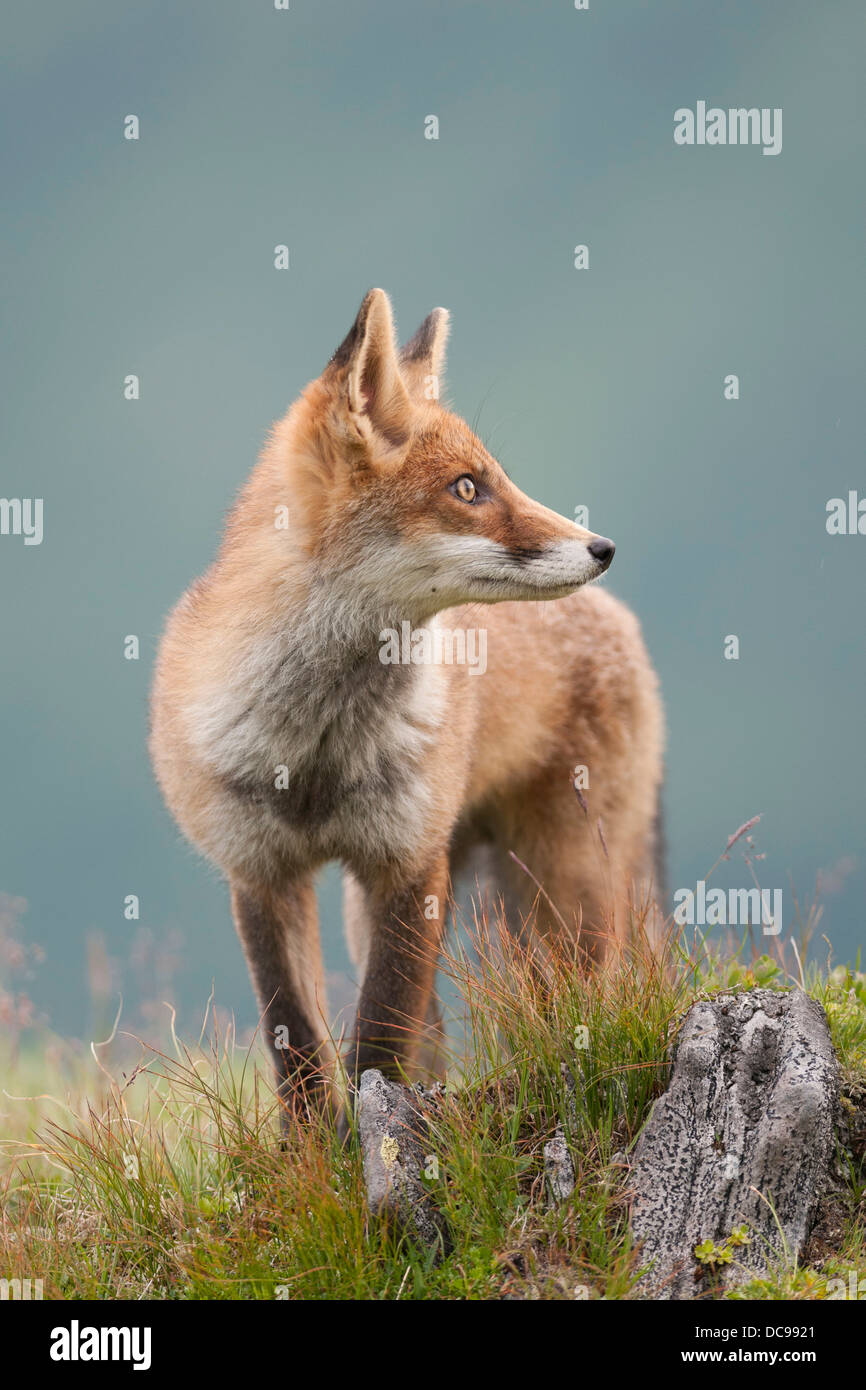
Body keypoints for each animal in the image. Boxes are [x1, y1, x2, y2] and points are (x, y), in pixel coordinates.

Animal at [149, 288, 665, 1123]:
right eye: (467, 488)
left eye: (493, 479)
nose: (603, 548)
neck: (317, 751)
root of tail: (620, 619)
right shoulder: (262, 872)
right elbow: (297, 1044)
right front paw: (311, 1150)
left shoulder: (408, 863)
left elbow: (379, 1035)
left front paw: (377, 1134)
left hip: (565, 882)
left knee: (580, 992)